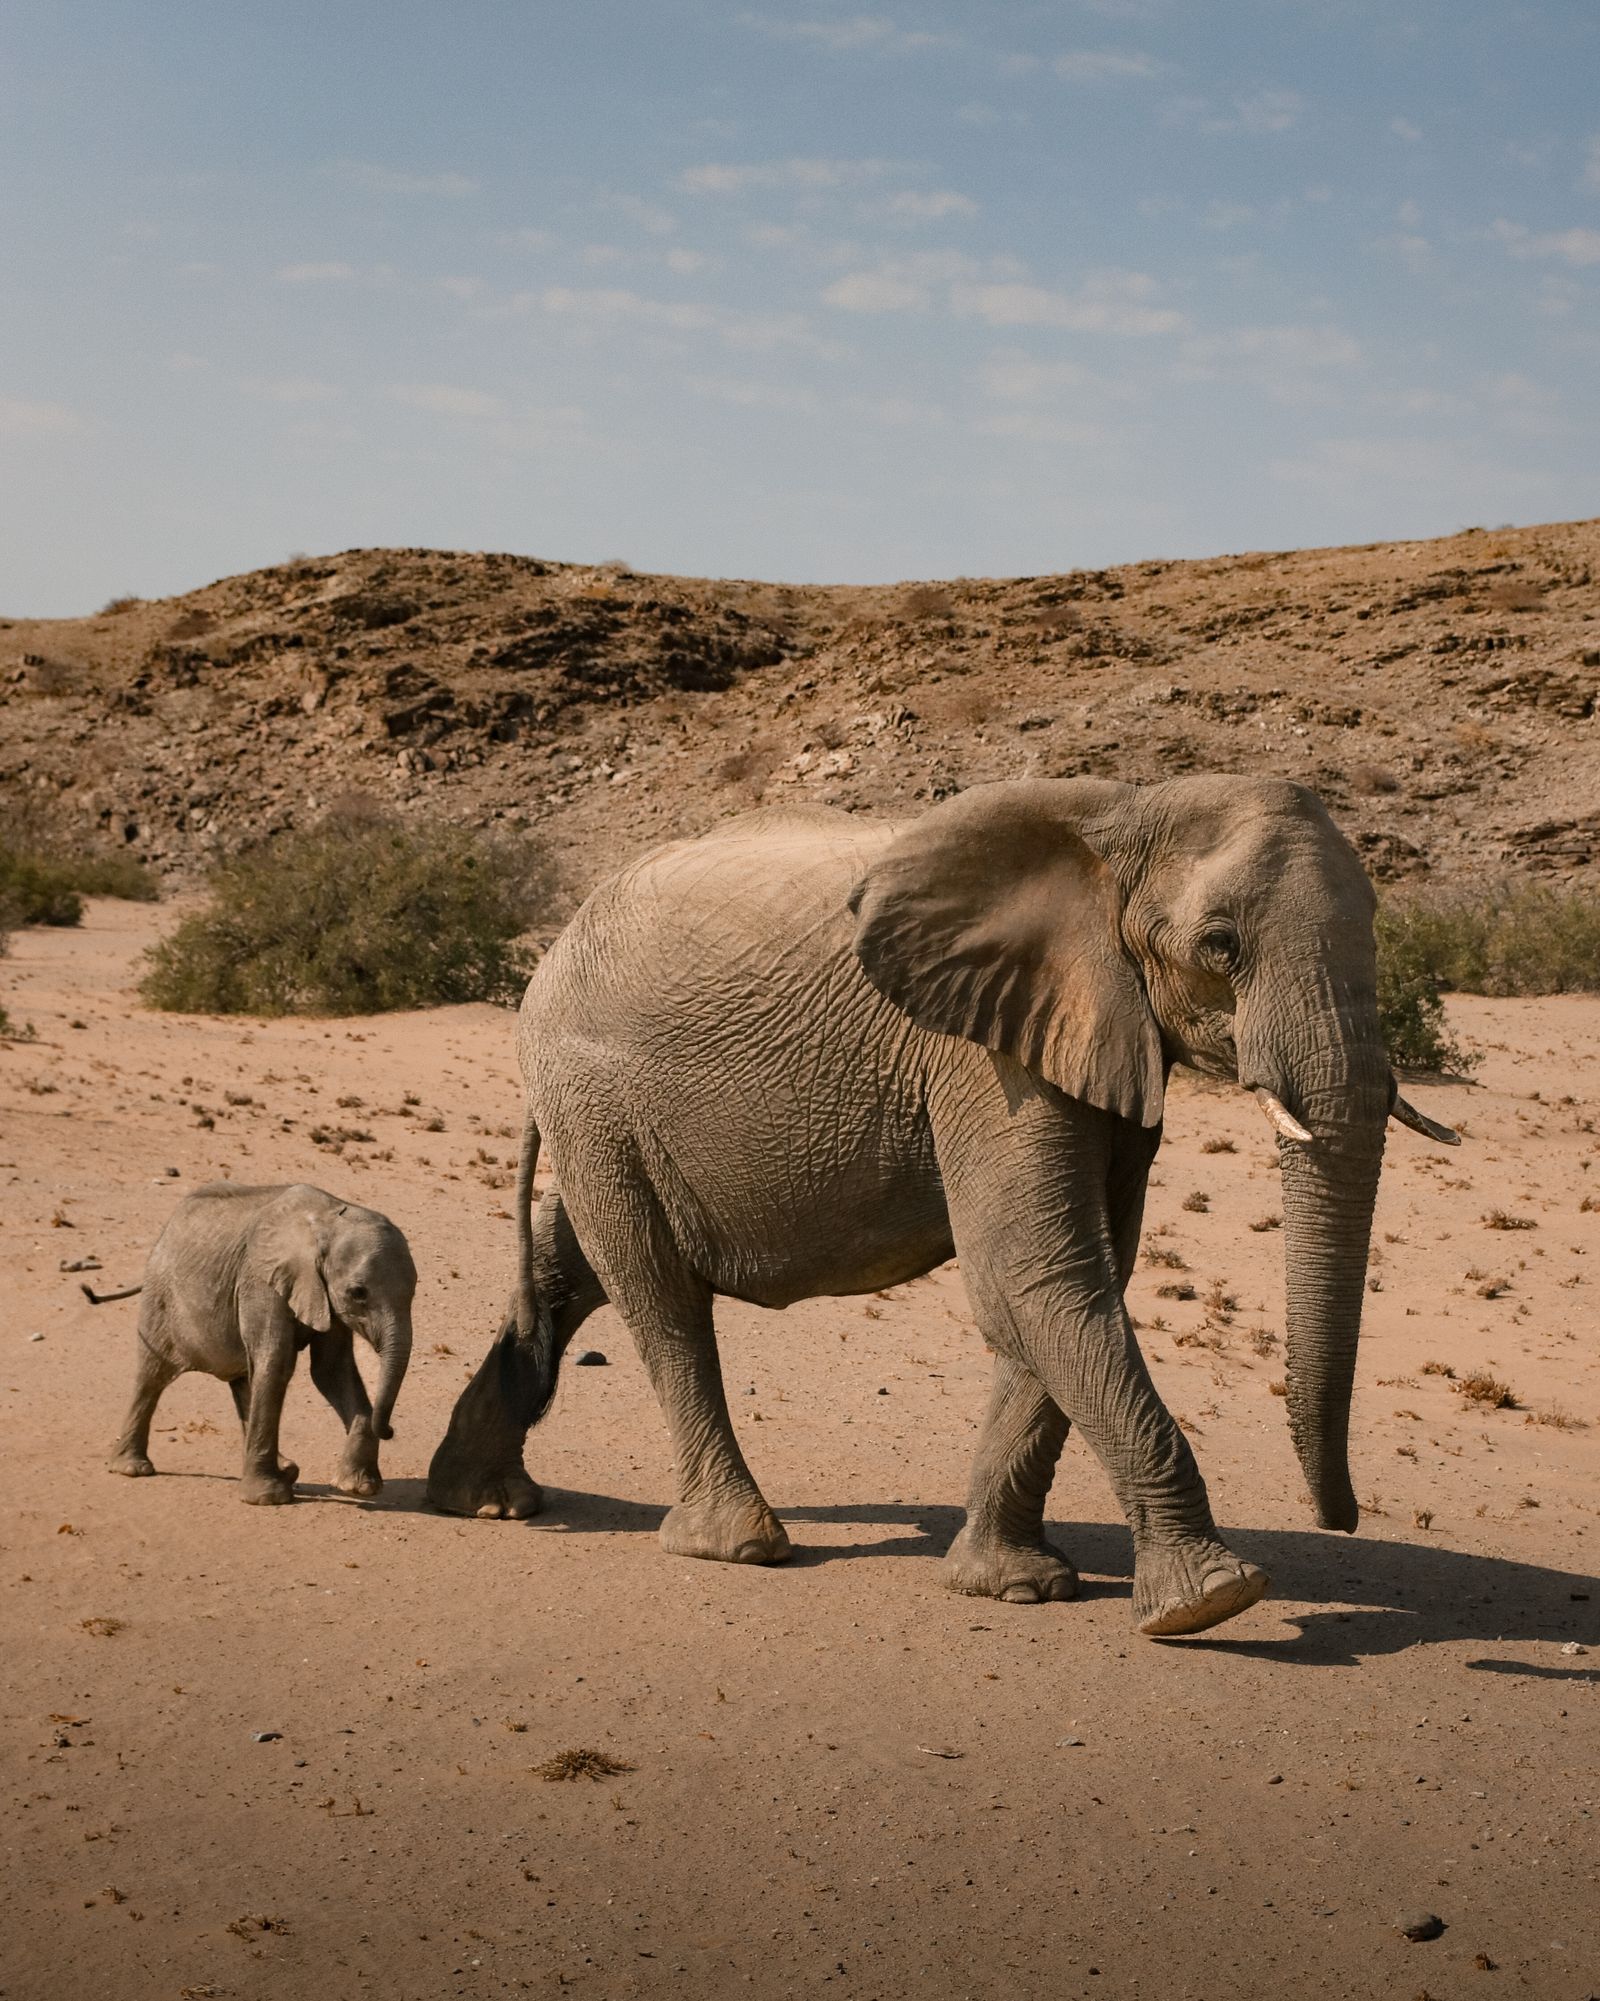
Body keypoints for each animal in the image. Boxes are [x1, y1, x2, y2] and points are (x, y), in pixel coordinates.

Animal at [105, 1182, 416, 1504]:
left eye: (414, 1290)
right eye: (358, 1293)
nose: (390, 1430)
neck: (326, 1222)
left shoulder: (322, 1295)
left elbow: (331, 1370)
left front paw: (359, 1488)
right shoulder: (261, 1281)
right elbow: (276, 1362)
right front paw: (268, 1498)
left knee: (244, 1380)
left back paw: (287, 1469)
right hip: (160, 1299)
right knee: (152, 1376)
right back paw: (132, 1468)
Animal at [426, 776, 1457, 1635]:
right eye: (1220, 946)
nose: (1342, 1517)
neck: (1119, 818)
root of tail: (559, 937)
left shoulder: (1095, 1030)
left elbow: (1071, 1279)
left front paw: (1011, 1587)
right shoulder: (980, 1052)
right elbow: (1038, 1272)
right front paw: (1212, 1600)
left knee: (572, 1266)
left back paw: (482, 1500)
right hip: (588, 1083)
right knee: (656, 1291)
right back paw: (738, 1543)